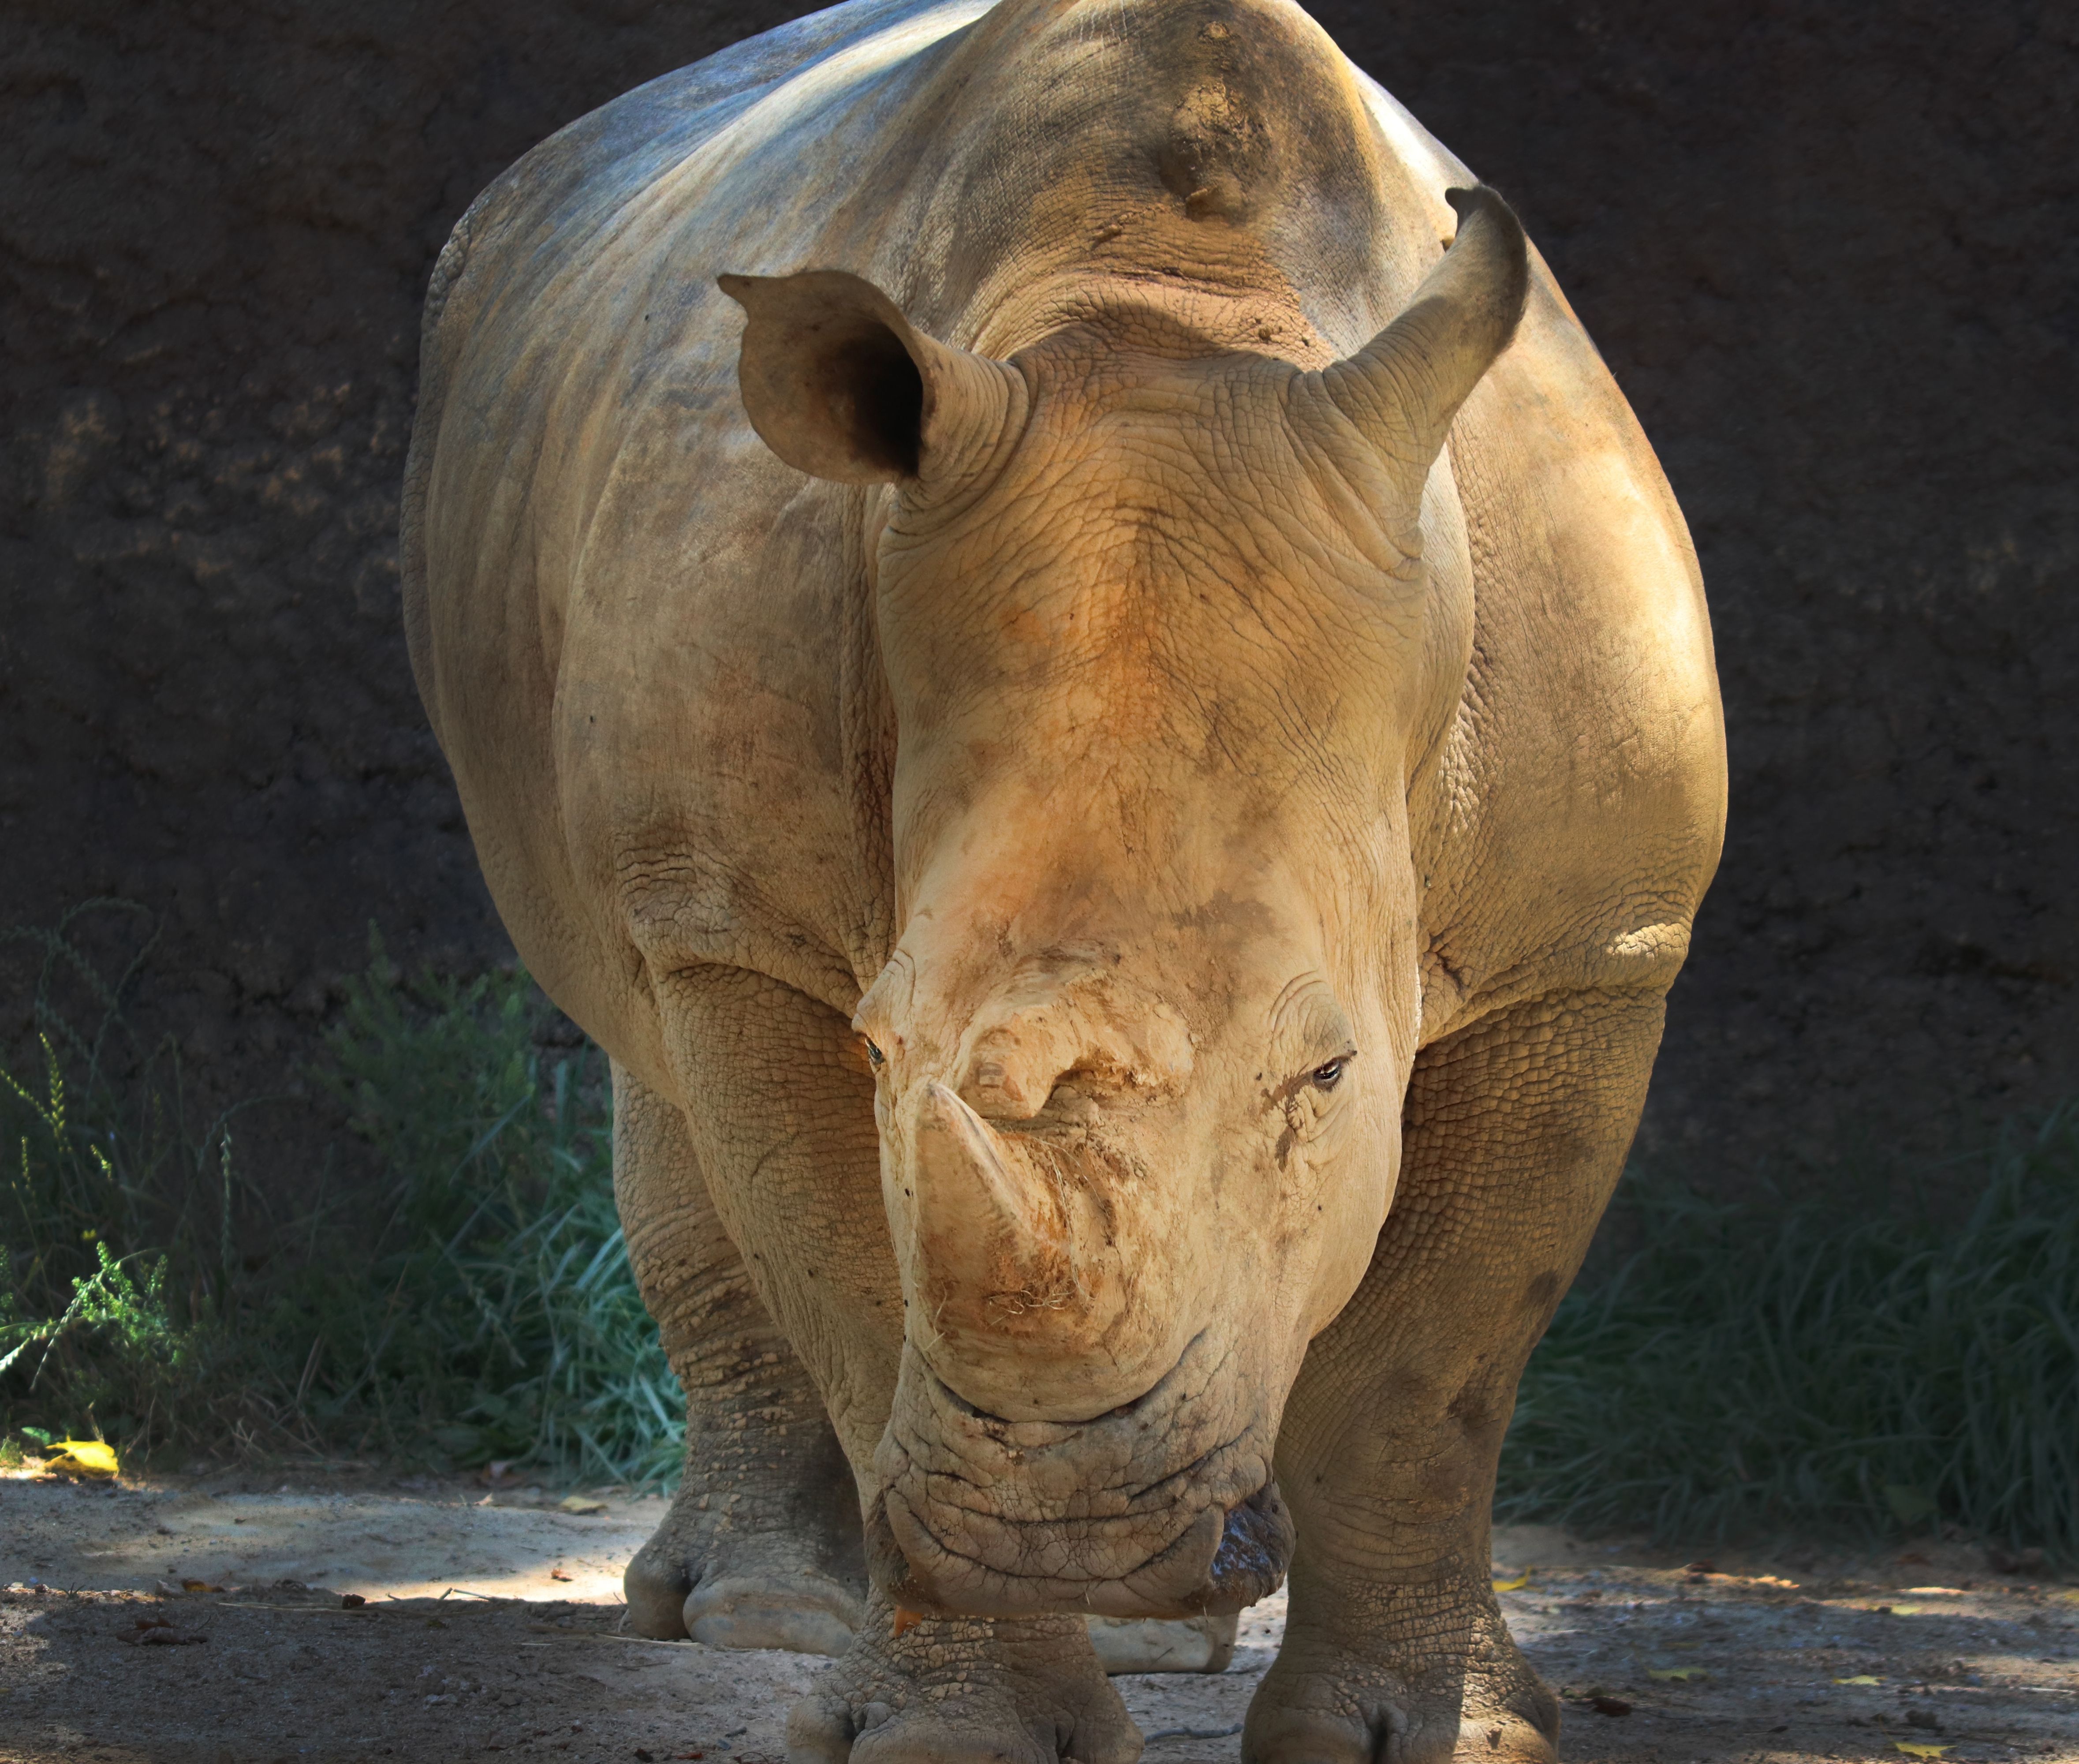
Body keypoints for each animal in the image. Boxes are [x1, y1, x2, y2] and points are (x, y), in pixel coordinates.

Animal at [402, 0, 1725, 1758]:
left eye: (1327, 1075)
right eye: (878, 1046)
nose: (1063, 1531)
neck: (1169, 322)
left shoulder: (1584, 943)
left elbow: (1427, 1374)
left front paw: (1434, 1737)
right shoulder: (754, 931)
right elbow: (856, 1293)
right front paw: (951, 1728)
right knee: (651, 1048)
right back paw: (760, 1614)